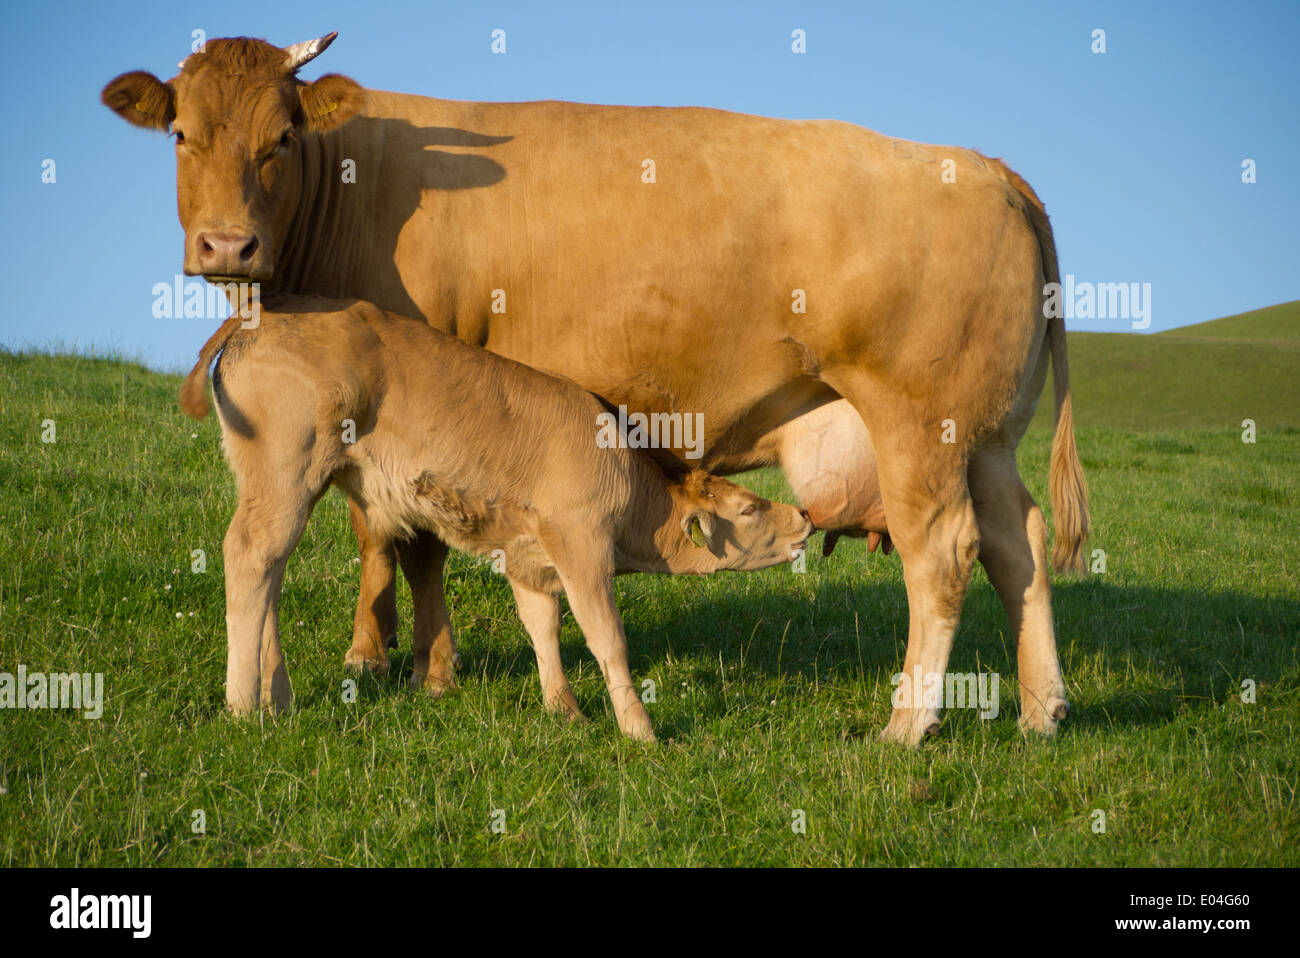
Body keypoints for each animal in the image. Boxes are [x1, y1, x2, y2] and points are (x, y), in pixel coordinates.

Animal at [181, 296, 814, 741]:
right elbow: (605, 635)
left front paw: (565, 712)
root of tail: (260, 317)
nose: (805, 516)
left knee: (271, 571)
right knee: (250, 555)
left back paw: (279, 696)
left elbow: (543, 628)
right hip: (286, 468)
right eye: (750, 507)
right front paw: (640, 730)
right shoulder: (581, 541)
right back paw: (244, 705)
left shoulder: (527, 557)